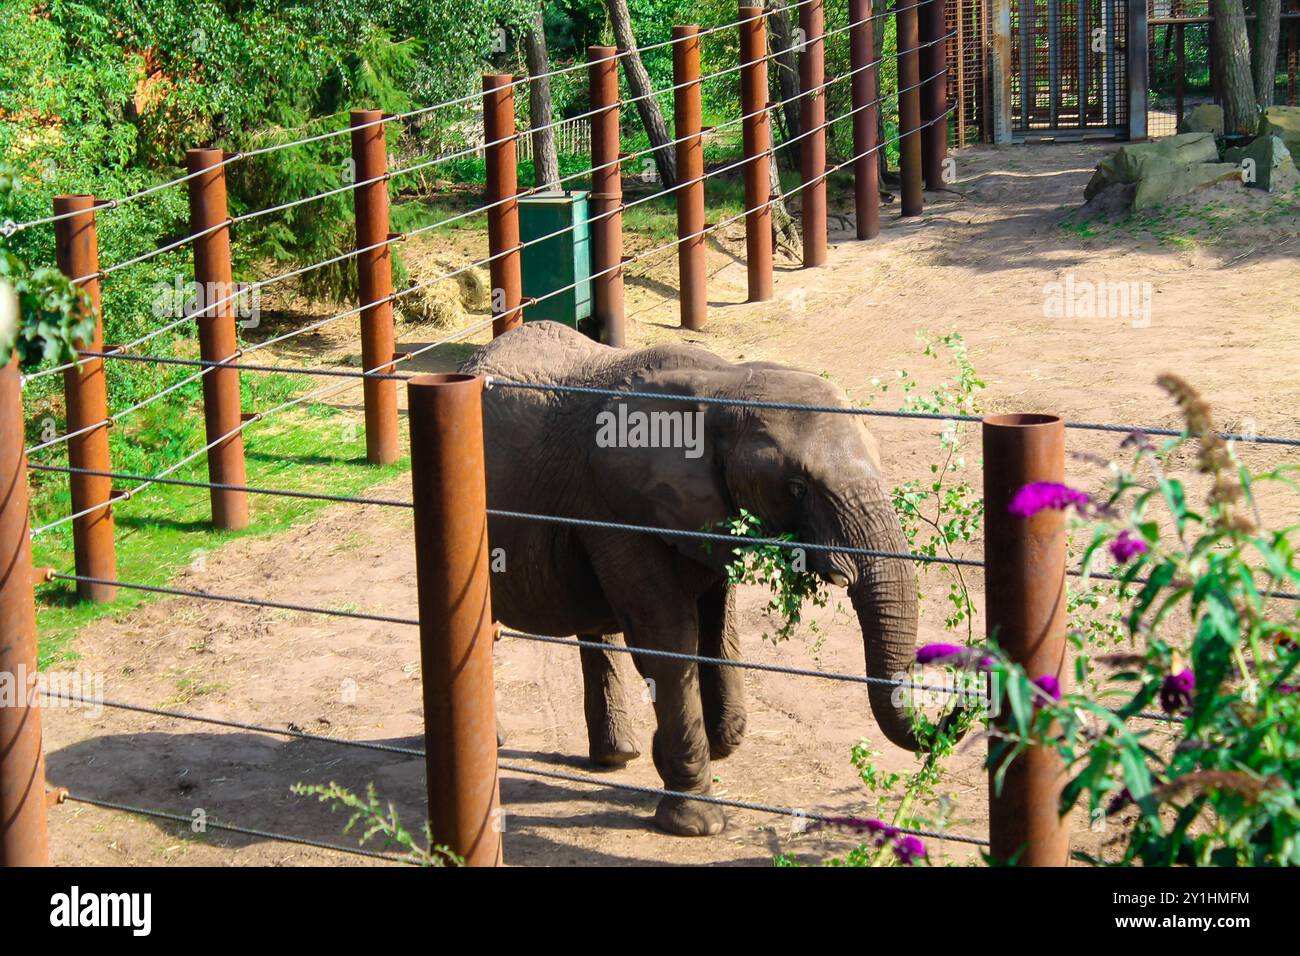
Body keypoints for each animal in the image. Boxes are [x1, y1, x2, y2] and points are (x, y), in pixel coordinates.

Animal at [459, 321, 920, 837]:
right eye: (796, 488)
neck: (725, 385)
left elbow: (716, 626)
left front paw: (693, 747)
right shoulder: (615, 508)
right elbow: (668, 635)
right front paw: (696, 822)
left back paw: (617, 756)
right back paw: (498, 742)